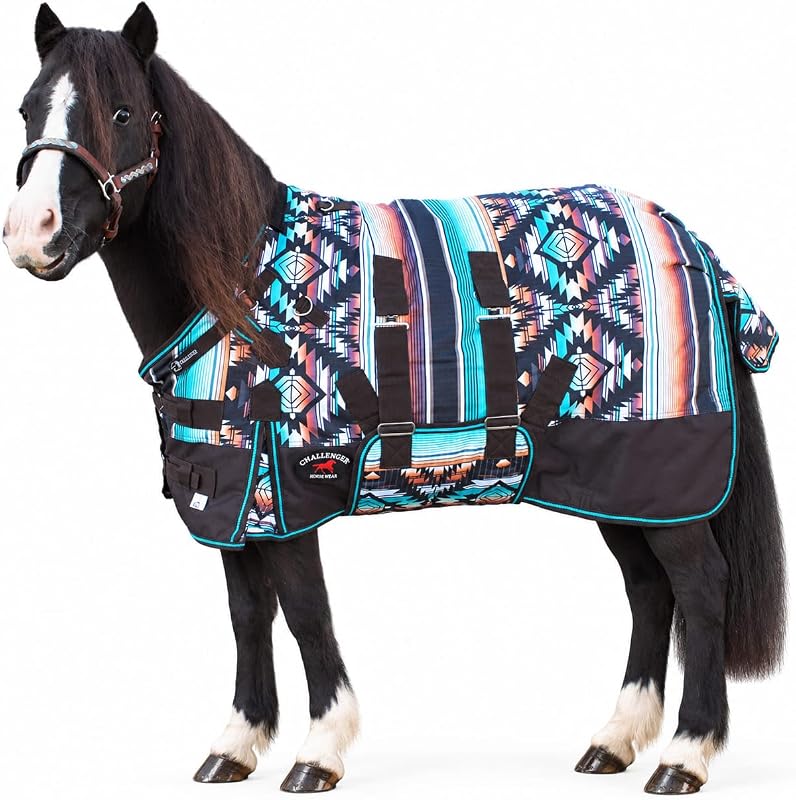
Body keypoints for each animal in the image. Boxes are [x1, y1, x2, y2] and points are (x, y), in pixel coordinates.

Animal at [4, 4, 786, 795]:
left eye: (123, 113)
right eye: (28, 109)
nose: (32, 234)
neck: (238, 296)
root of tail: (686, 240)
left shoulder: (288, 492)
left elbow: (305, 612)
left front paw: (319, 751)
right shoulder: (228, 495)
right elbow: (248, 613)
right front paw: (236, 744)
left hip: (661, 477)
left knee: (699, 587)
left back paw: (686, 753)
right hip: (621, 486)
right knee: (649, 590)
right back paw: (616, 742)